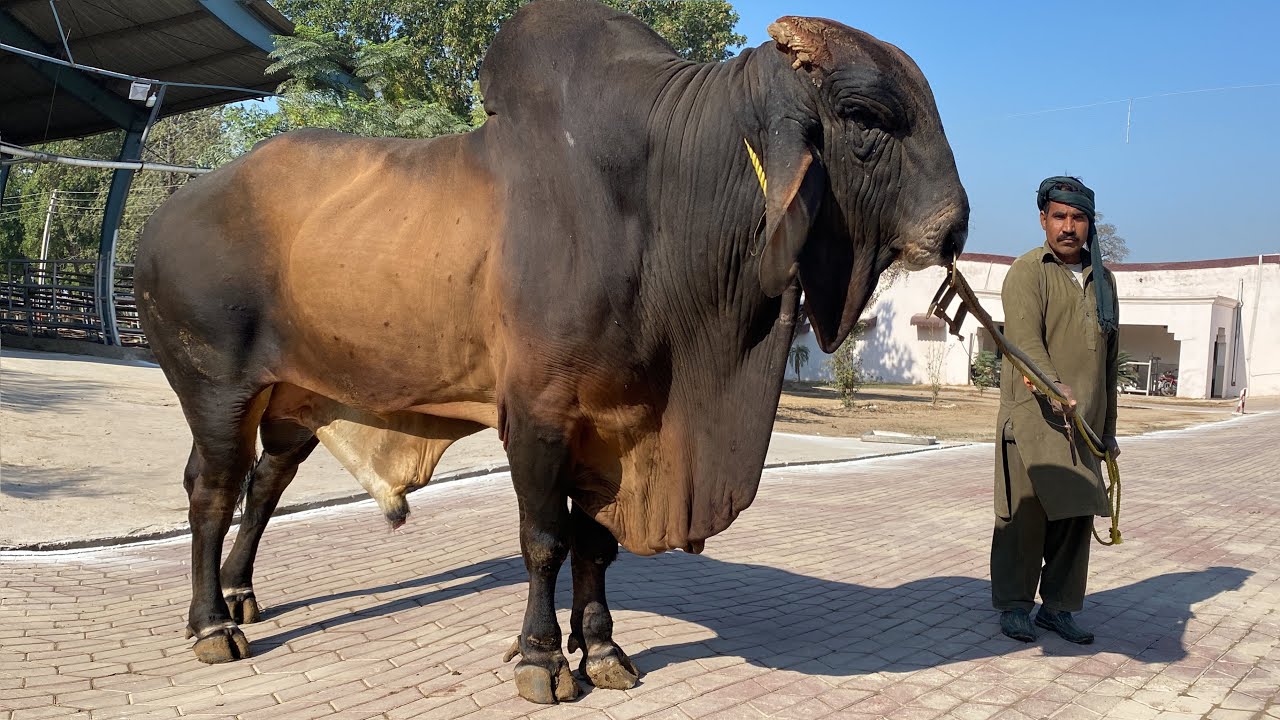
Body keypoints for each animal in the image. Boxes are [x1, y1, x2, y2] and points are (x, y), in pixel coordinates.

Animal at [135, 0, 968, 704]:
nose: (955, 227)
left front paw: (601, 649)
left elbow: (594, 545)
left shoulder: (618, 426)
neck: (660, 202)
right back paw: (212, 623)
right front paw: (542, 658)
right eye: (864, 115)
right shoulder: (537, 417)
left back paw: (241, 592)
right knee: (212, 490)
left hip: (294, 401)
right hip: (217, 389)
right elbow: (544, 540)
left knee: (265, 484)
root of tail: (168, 213)